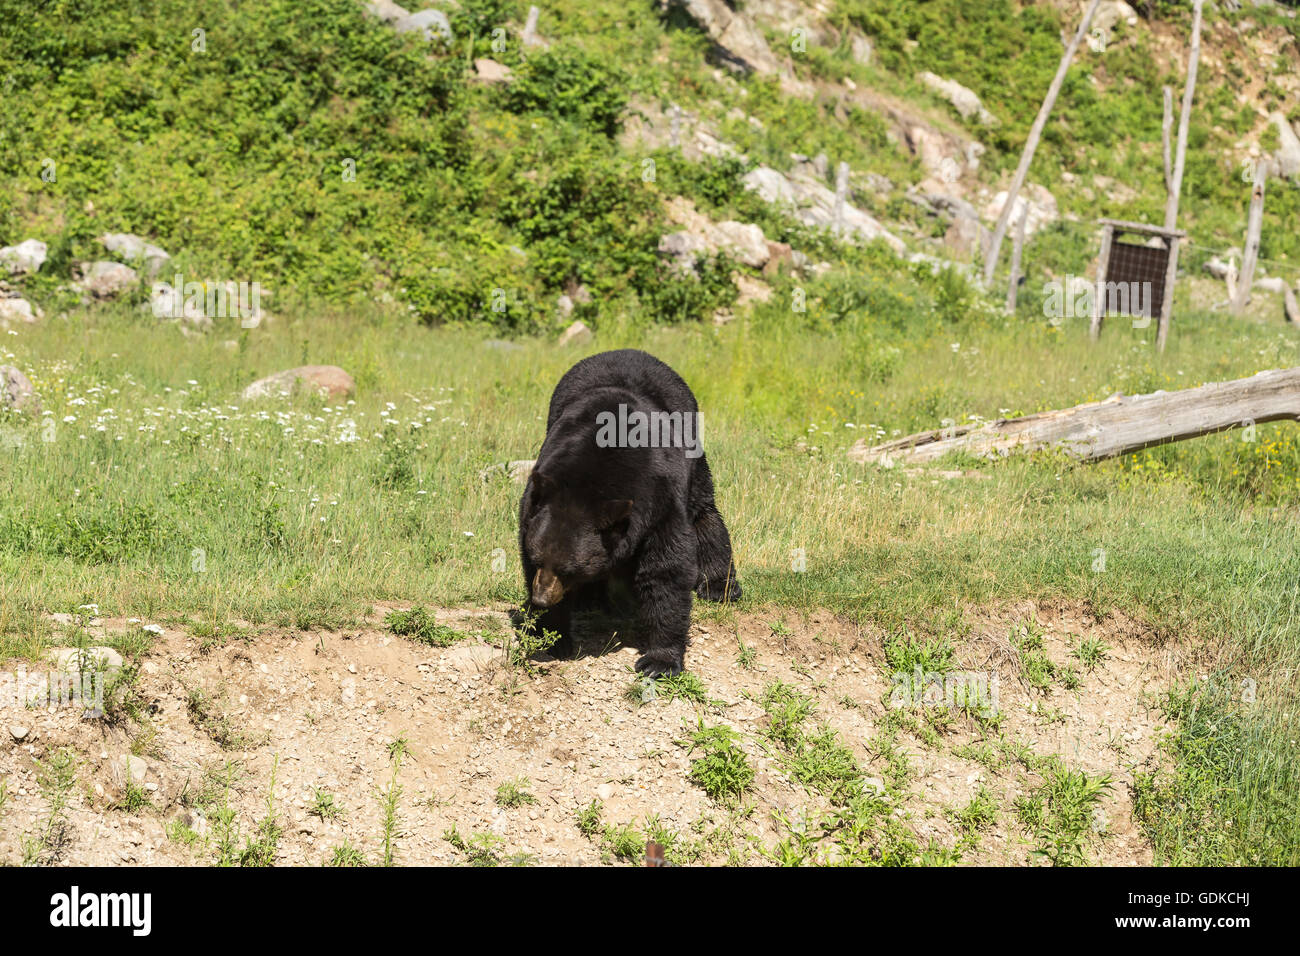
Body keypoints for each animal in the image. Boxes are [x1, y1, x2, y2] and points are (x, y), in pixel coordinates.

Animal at [517, 349, 741, 676]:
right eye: (537, 560)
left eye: (570, 570)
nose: (542, 598)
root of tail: (630, 351)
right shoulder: (535, 505)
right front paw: (554, 637)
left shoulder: (659, 501)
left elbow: (666, 568)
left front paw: (659, 661)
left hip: (692, 446)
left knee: (704, 511)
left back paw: (718, 586)